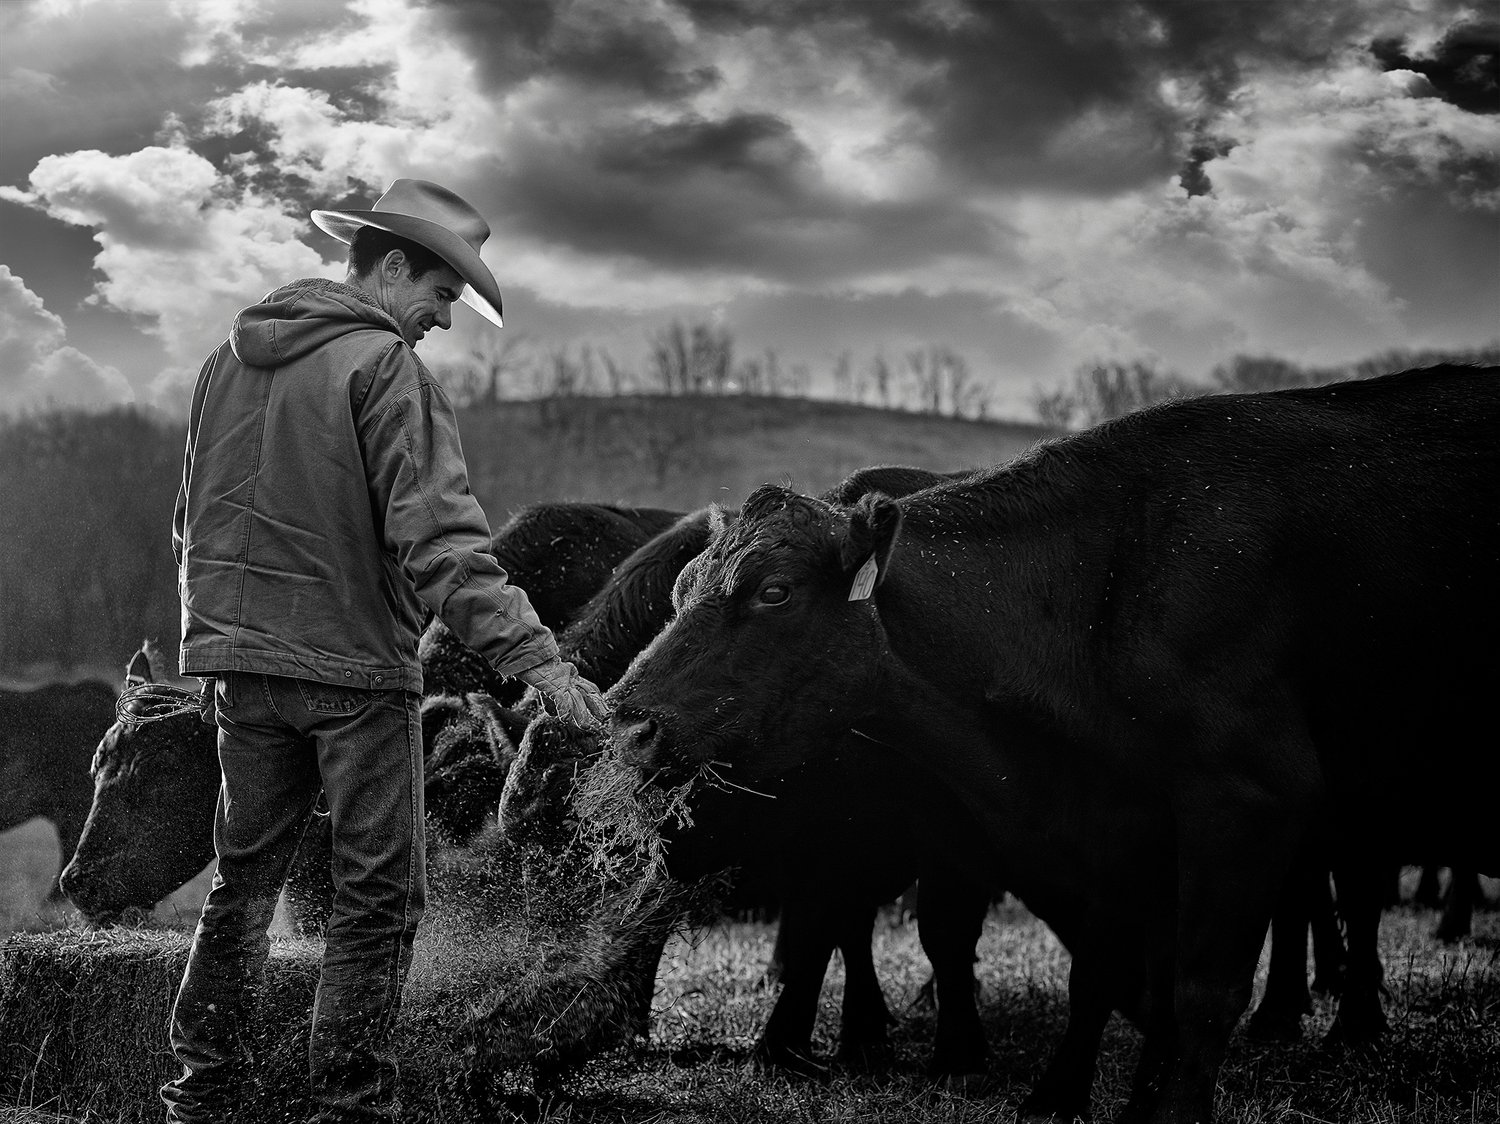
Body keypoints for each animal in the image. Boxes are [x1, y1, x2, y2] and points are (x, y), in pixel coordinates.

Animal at [606, 366, 1500, 1123]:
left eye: (774, 591)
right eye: (682, 588)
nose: (625, 719)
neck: (1104, 582)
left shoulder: (1251, 800)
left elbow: (1201, 988)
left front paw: (1165, 1111)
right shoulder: (1123, 828)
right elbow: (1105, 969)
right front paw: (1071, 1096)